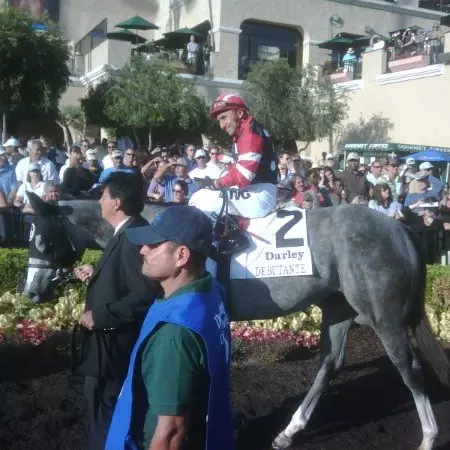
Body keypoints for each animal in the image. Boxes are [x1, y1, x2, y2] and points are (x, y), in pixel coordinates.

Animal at [23, 196, 450, 450]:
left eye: (42, 241)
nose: (29, 290)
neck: (146, 230)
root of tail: (398, 227)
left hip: (384, 317)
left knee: (409, 367)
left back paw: (429, 437)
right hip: (338, 308)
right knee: (330, 365)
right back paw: (288, 431)